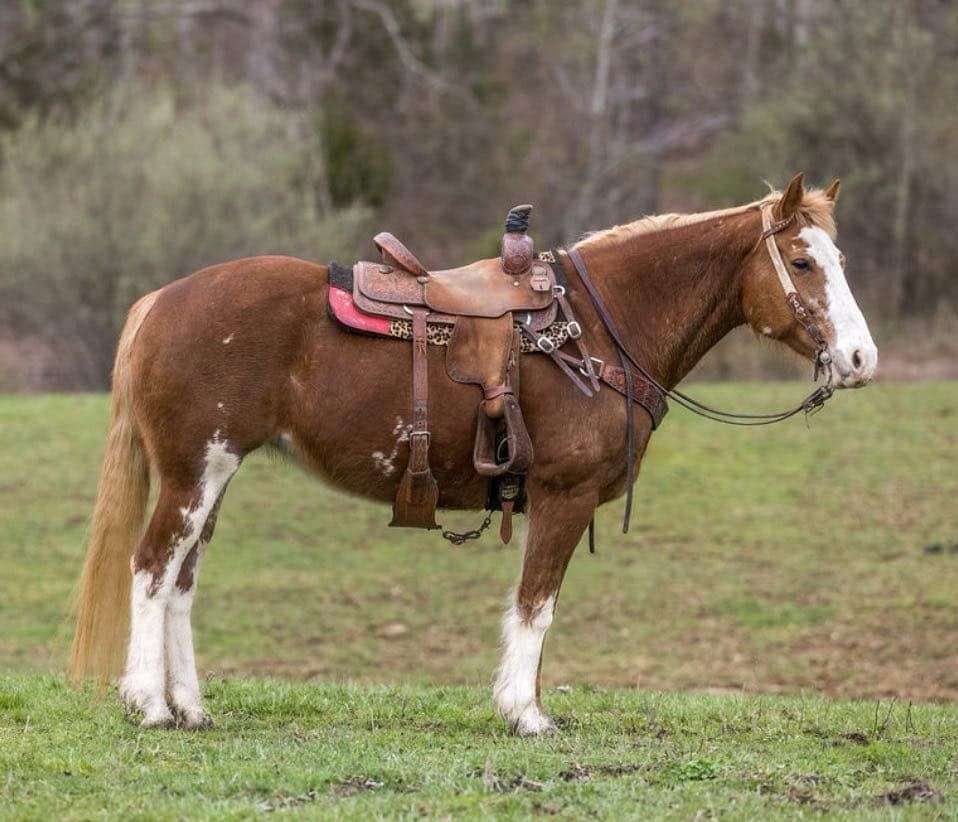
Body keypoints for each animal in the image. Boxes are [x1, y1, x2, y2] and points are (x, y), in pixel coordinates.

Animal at [69, 173, 877, 734]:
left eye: (839, 256)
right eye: (803, 262)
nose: (861, 358)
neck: (595, 331)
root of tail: (161, 301)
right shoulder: (563, 497)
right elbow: (537, 605)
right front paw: (526, 714)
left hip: (214, 473)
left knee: (181, 581)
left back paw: (191, 706)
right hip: (193, 474)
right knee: (152, 569)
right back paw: (148, 704)